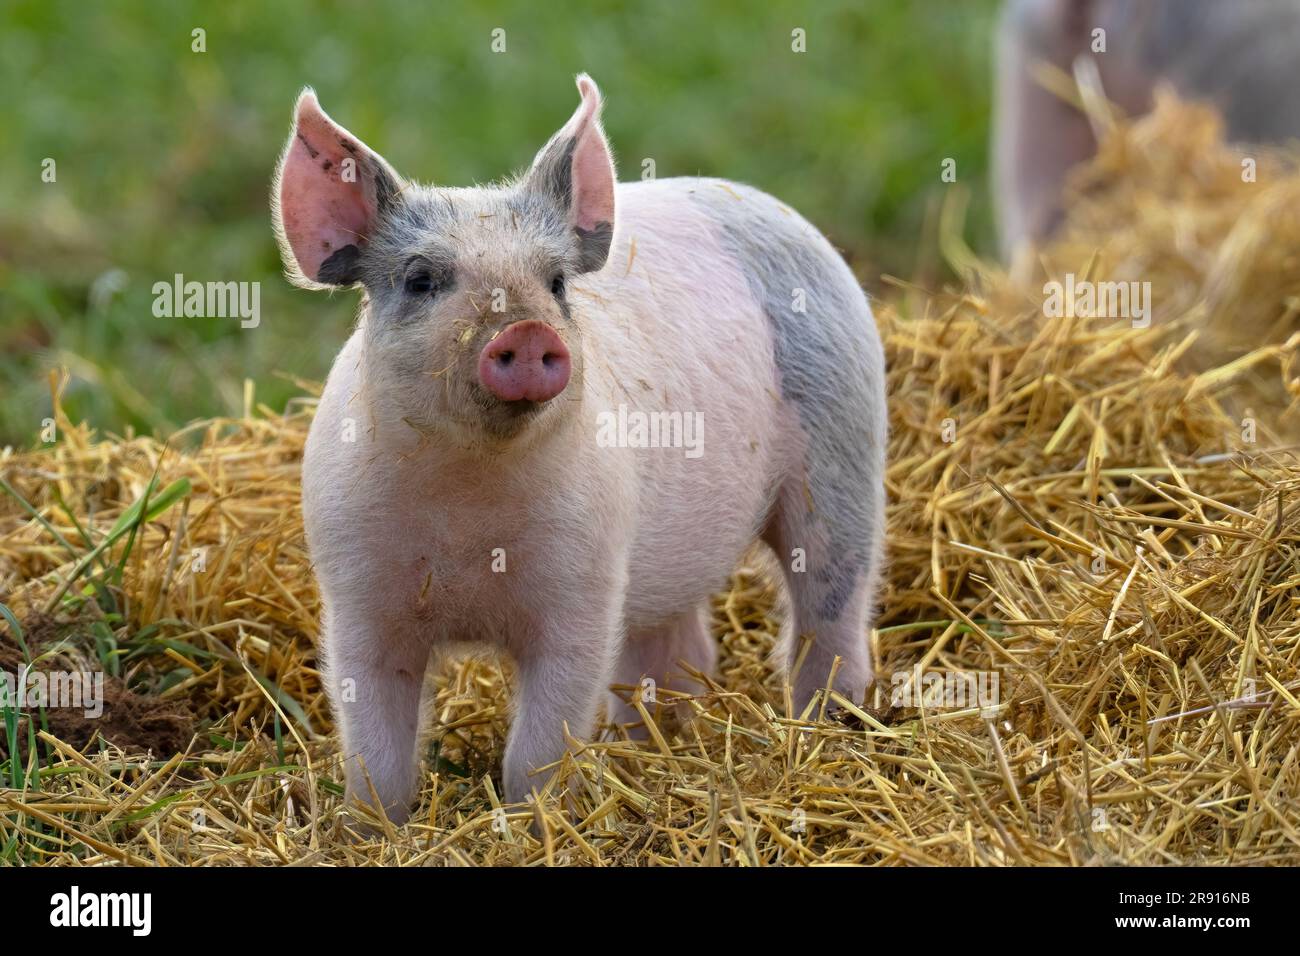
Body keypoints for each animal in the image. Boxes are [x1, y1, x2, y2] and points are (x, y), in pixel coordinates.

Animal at [271, 75, 887, 824]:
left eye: (556, 283)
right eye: (420, 280)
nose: (529, 331)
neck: (466, 506)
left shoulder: (585, 579)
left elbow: (542, 740)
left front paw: (531, 821)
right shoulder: (355, 591)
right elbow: (375, 751)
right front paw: (372, 831)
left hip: (847, 445)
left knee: (830, 608)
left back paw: (827, 729)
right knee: (680, 647)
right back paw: (652, 743)